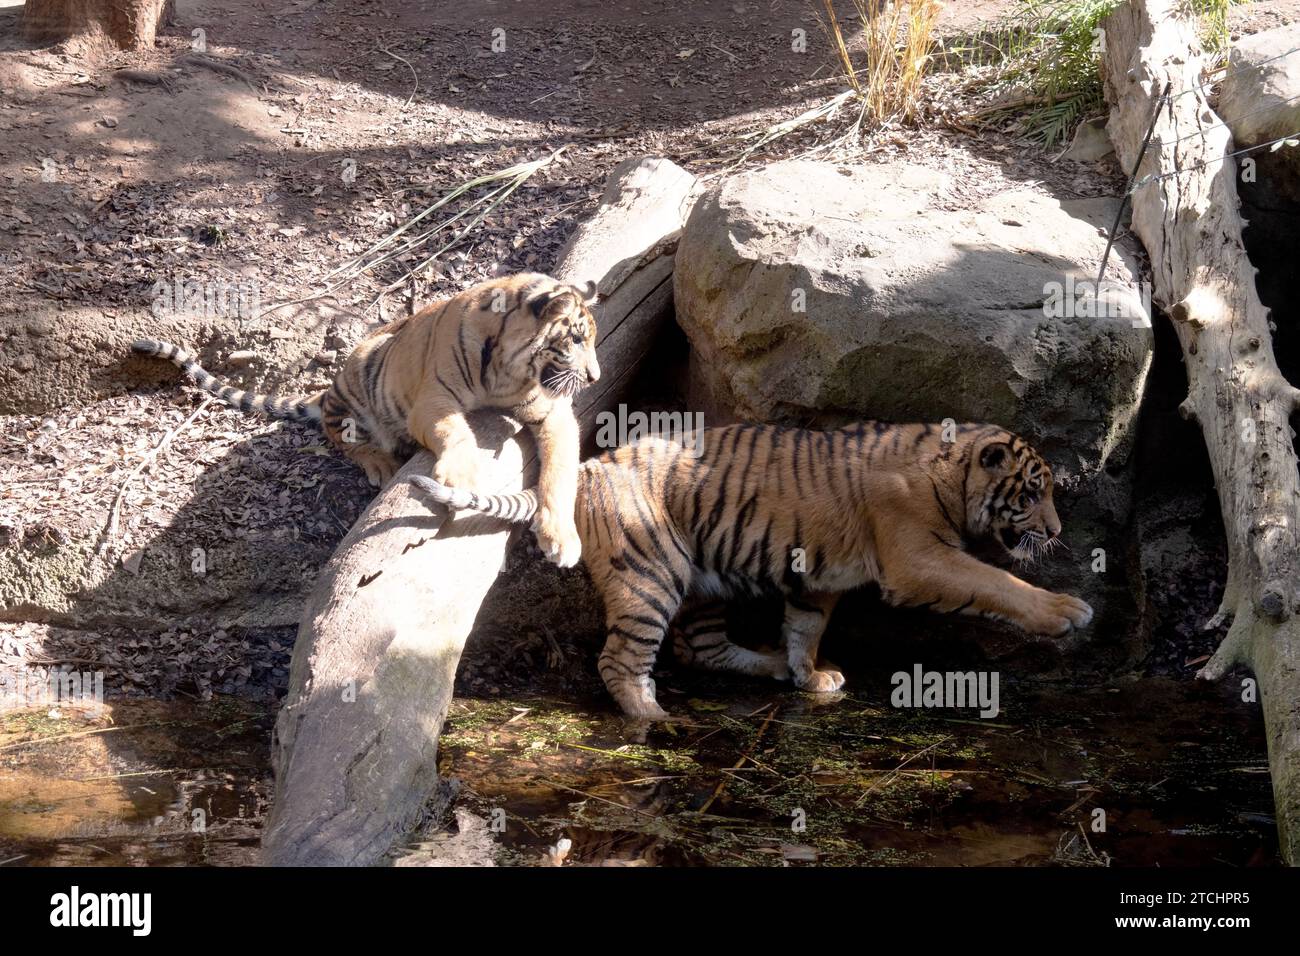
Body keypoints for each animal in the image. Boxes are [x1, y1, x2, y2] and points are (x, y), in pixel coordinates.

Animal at [132, 272, 600, 567]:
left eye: (590, 341)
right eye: (577, 339)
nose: (595, 377)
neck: (508, 368)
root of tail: (327, 387)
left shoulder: (553, 413)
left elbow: (560, 475)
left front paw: (562, 540)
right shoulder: (433, 399)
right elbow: (455, 431)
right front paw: (460, 477)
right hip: (363, 372)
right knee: (337, 432)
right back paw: (381, 461)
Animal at [409, 421, 1093, 719]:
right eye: (1033, 493)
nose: (1059, 532)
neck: (951, 476)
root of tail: (589, 467)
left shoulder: (819, 580)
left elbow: (804, 627)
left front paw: (809, 675)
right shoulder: (919, 559)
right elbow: (996, 581)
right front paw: (1065, 612)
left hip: (703, 577)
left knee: (701, 648)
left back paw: (766, 665)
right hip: (652, 571)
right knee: (621, 658)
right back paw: (651, 717)